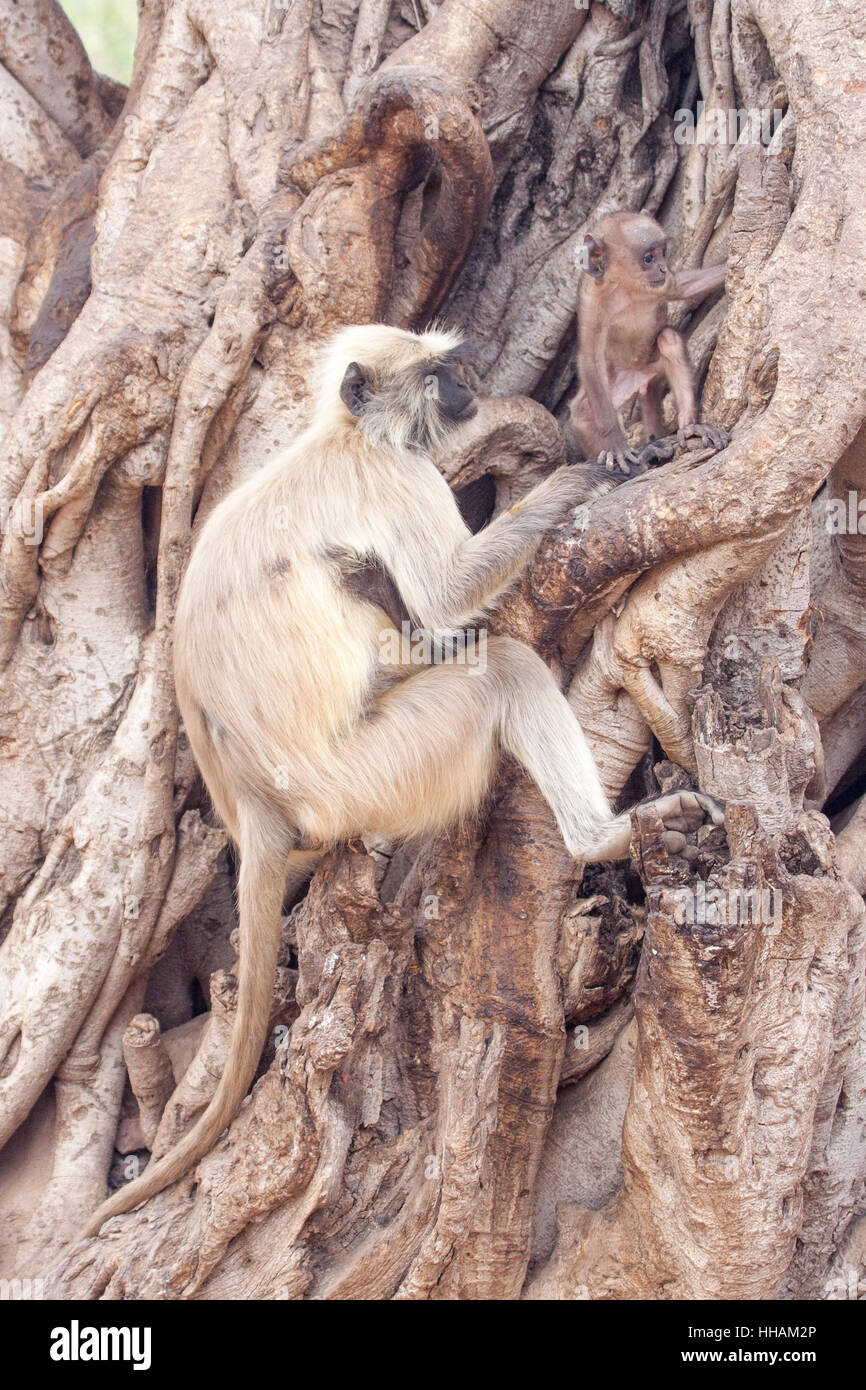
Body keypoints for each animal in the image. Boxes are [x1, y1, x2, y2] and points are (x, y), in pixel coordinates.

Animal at [79, 323, 723, 1239]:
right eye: (437, 374)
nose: (468, 383)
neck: (344, 437)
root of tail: (258, 808)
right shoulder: (394, 476)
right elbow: (448, 595)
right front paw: (599, 471)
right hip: (371, 773)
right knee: (496, 669)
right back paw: (602, 835)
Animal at [569, 210, 730, 474]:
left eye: (662, 252)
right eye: (648, 258)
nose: (663, 268)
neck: (627, 288)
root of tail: (640, 376)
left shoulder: (663, 286)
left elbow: (685, 287)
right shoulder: (592, 300)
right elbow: (590, 358)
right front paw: (616, 448)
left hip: (652, 364)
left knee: (669, 339)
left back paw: (689, 428)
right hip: (617, 380)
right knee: (583, 413)